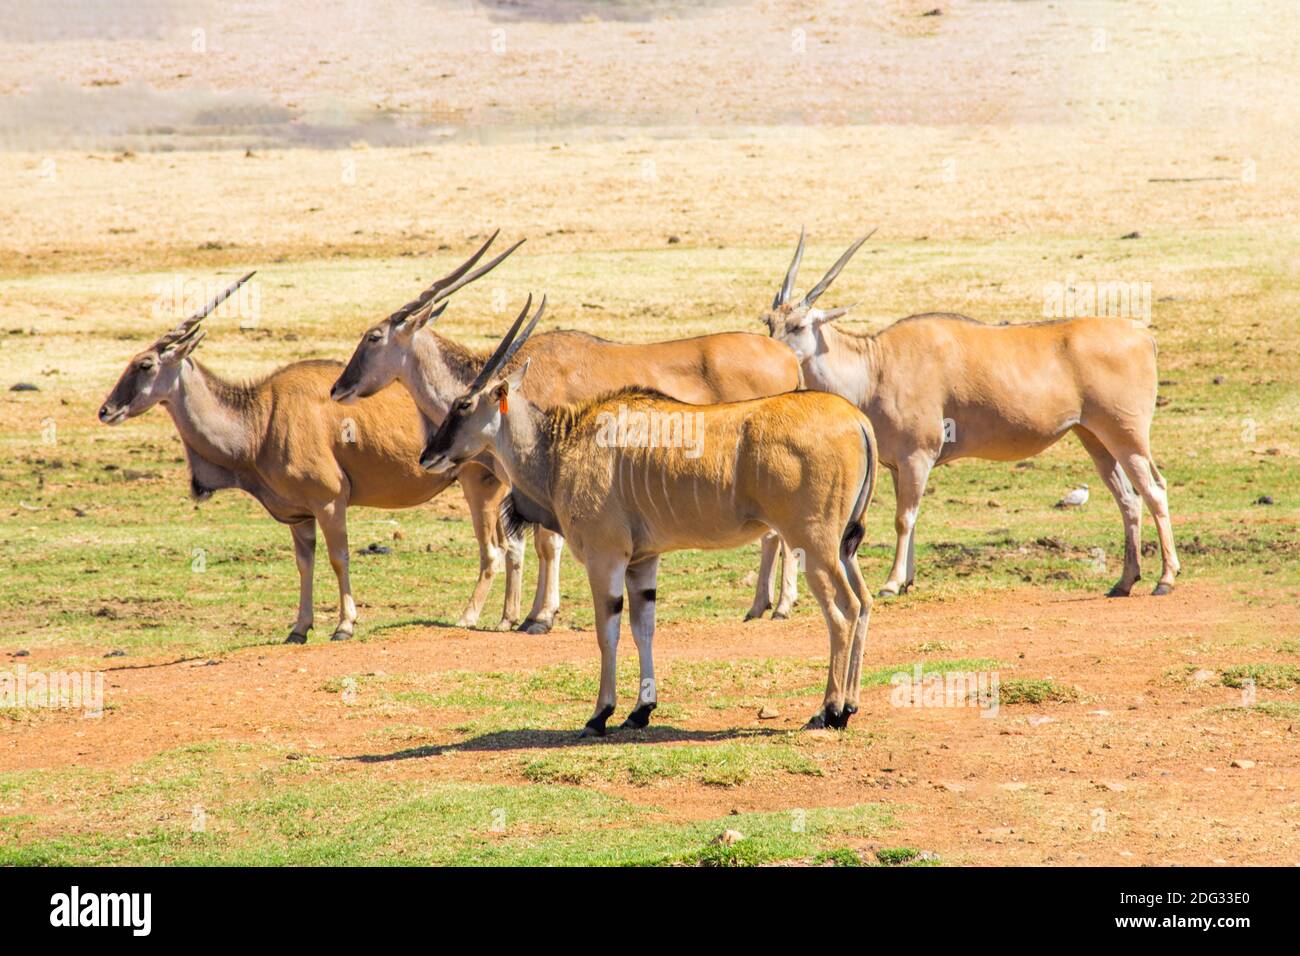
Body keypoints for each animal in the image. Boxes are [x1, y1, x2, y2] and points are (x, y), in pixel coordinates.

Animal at [97, 245, 521, 644]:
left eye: (145, 365)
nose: (106, 410)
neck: (262, 420)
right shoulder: (300, 515)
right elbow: (305, 563)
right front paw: (299, 628)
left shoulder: (330, 502)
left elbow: (339, 557)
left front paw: (345, 625)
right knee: (512, 546)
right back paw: (507, 619)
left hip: (479, 489)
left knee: (495, 550)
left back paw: (472, 617)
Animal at [330, 234, 804, 632]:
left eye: (373, 337)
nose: (338, 387)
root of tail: (787, 357)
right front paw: (521, 615)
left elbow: (544, 543)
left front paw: (538, 616)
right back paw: (759, 606)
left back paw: (780, 605)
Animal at [419, 299, 879, 735]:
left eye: (463, 404)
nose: (427, 456)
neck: (560, 447)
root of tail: (857, 419)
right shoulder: (643, 561)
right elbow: (645, 628)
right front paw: (641, 710)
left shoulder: (606, 557)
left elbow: (607, 631)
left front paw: (600, 714)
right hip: (843, 548)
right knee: (865, 602)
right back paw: (851, 705)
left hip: (813, 545)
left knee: (844, 610)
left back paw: (829, 711)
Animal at [762, 231, 1180, 598]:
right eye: (770, 322)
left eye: (798, 325)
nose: (775, 355)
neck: (876, 366)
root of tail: (1143, 336)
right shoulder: (899, 466)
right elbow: (911, 518)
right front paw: (908, 581)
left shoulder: (917, 457)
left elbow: (903, 518)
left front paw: (892, 583)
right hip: (1094, 438)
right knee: (1128, 498)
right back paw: (1125, 581)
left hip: (1127, 435)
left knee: (1155, 489)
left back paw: (1165, 579)